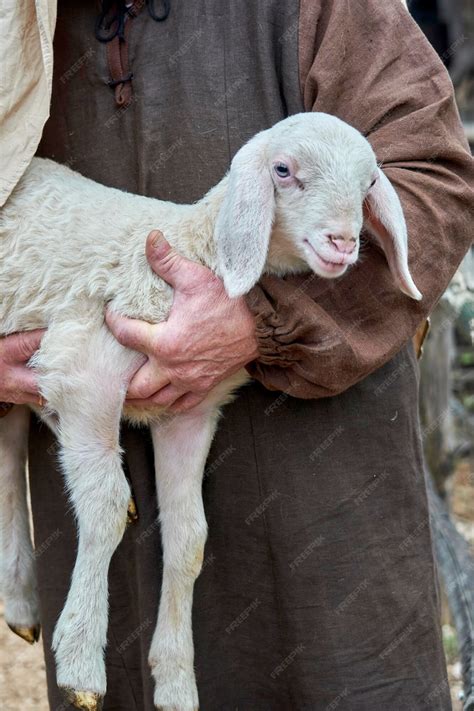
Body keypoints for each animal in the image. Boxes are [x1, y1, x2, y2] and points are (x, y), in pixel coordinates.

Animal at [0, 112, 421, 711]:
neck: (194, 246)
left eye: (368, 184)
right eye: (283, 170)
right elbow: (105, 506)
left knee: (10, 445)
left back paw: (21, 599)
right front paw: (81, 661)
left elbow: (189, 537)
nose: (342, 243)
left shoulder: (190, 410)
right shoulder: (85, 369)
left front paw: (176, 679)